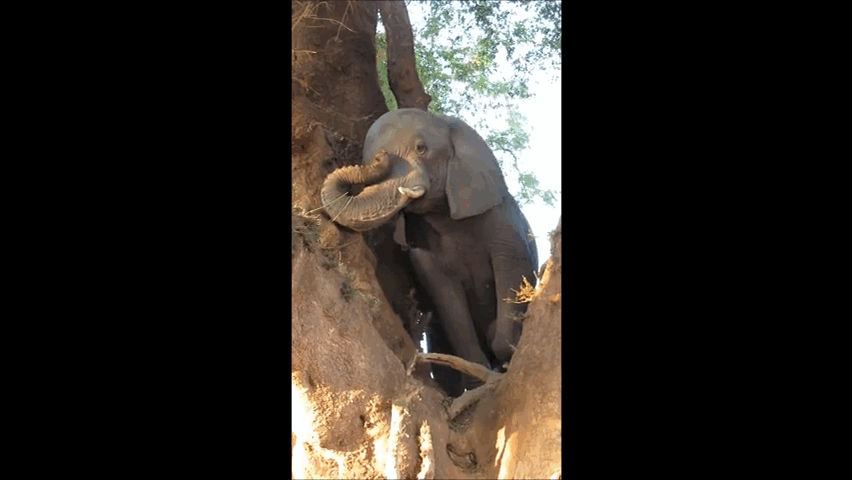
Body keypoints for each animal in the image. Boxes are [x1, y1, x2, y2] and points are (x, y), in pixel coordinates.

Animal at [322, 108, 538, 392]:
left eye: (421, 148)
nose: (380, 158)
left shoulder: (503, 222)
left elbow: (512, 268)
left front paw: (501, 349)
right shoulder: (424, 247)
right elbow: (443, 291)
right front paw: (477, 378)